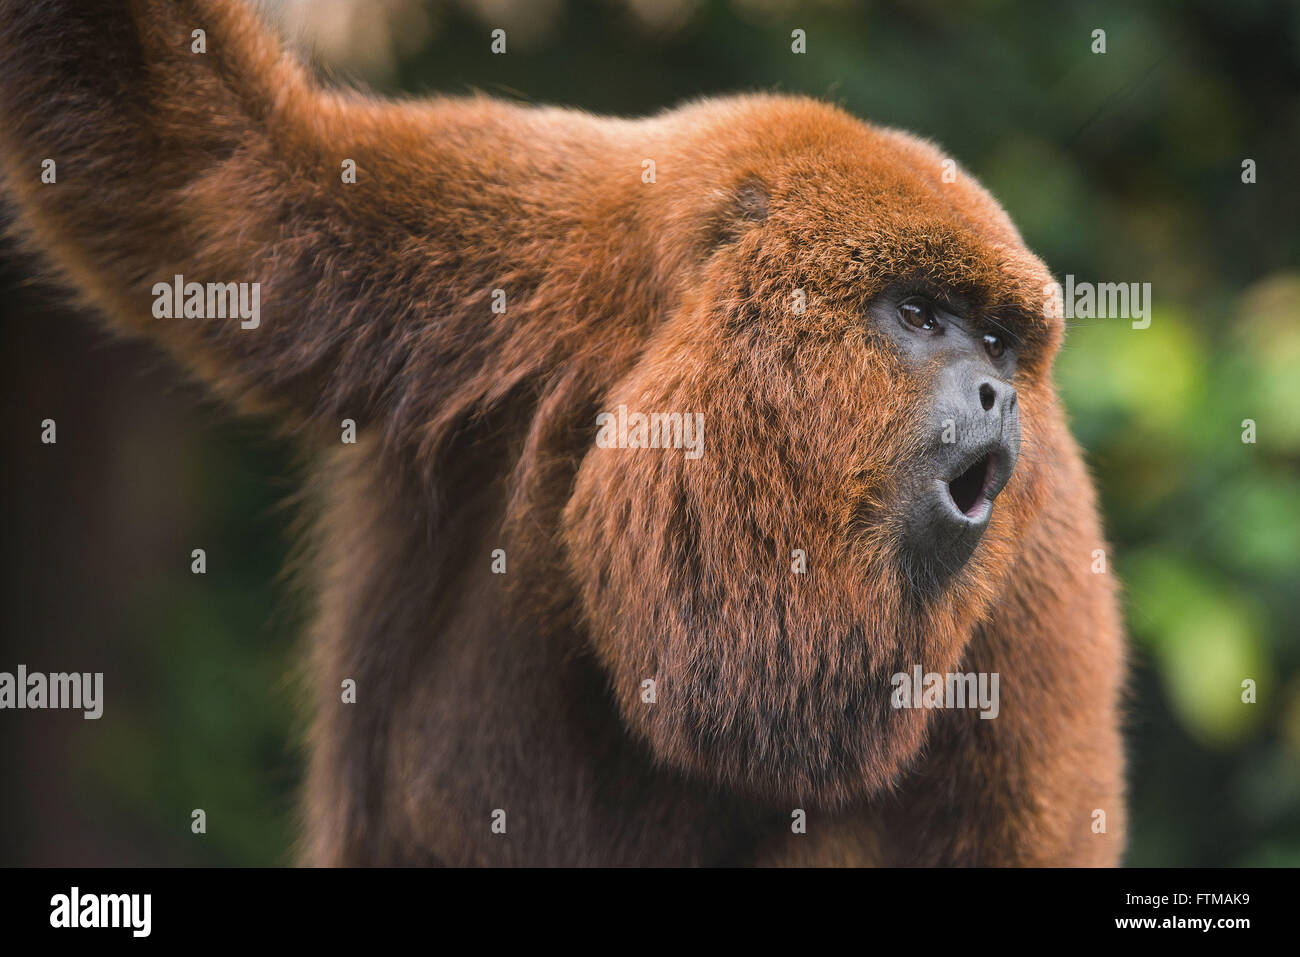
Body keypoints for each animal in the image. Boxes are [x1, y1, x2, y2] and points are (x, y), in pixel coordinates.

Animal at [0, 0, 1126, 866]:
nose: (996, 392)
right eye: (919, 315)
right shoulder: (537, 228)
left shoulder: (1044, 552)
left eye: (996, 338)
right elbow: (214, 183)